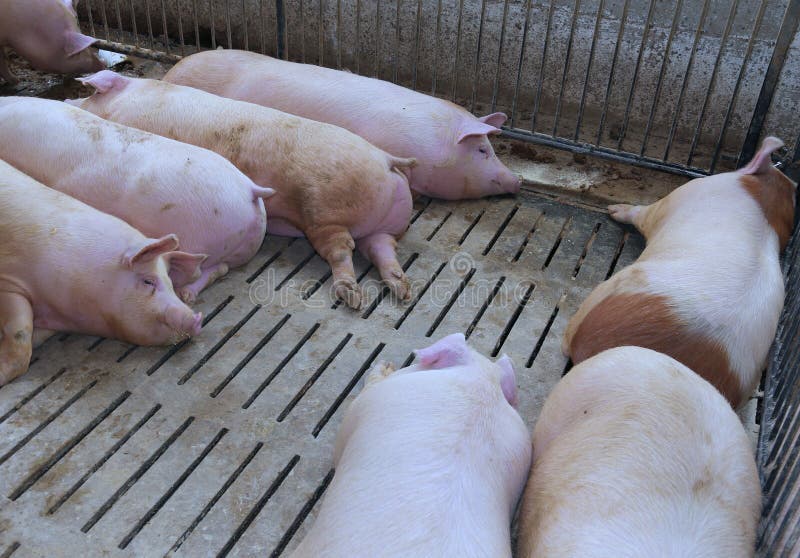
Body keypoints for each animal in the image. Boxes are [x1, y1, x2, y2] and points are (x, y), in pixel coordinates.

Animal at [0, 97, 274, 304]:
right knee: (219, 269)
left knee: (199, 269)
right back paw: (188, 293)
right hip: (233, 250)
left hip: (198, 236)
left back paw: (184, 293)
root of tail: (250, 190)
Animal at [68, 70, 416, 309]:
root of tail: (385, 159)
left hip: (324, 213)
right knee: (382, 248)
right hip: (385, 225)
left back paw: (352, 297)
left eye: (90, 95)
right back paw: (402, 290)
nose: (69, 99)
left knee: (342, 249)